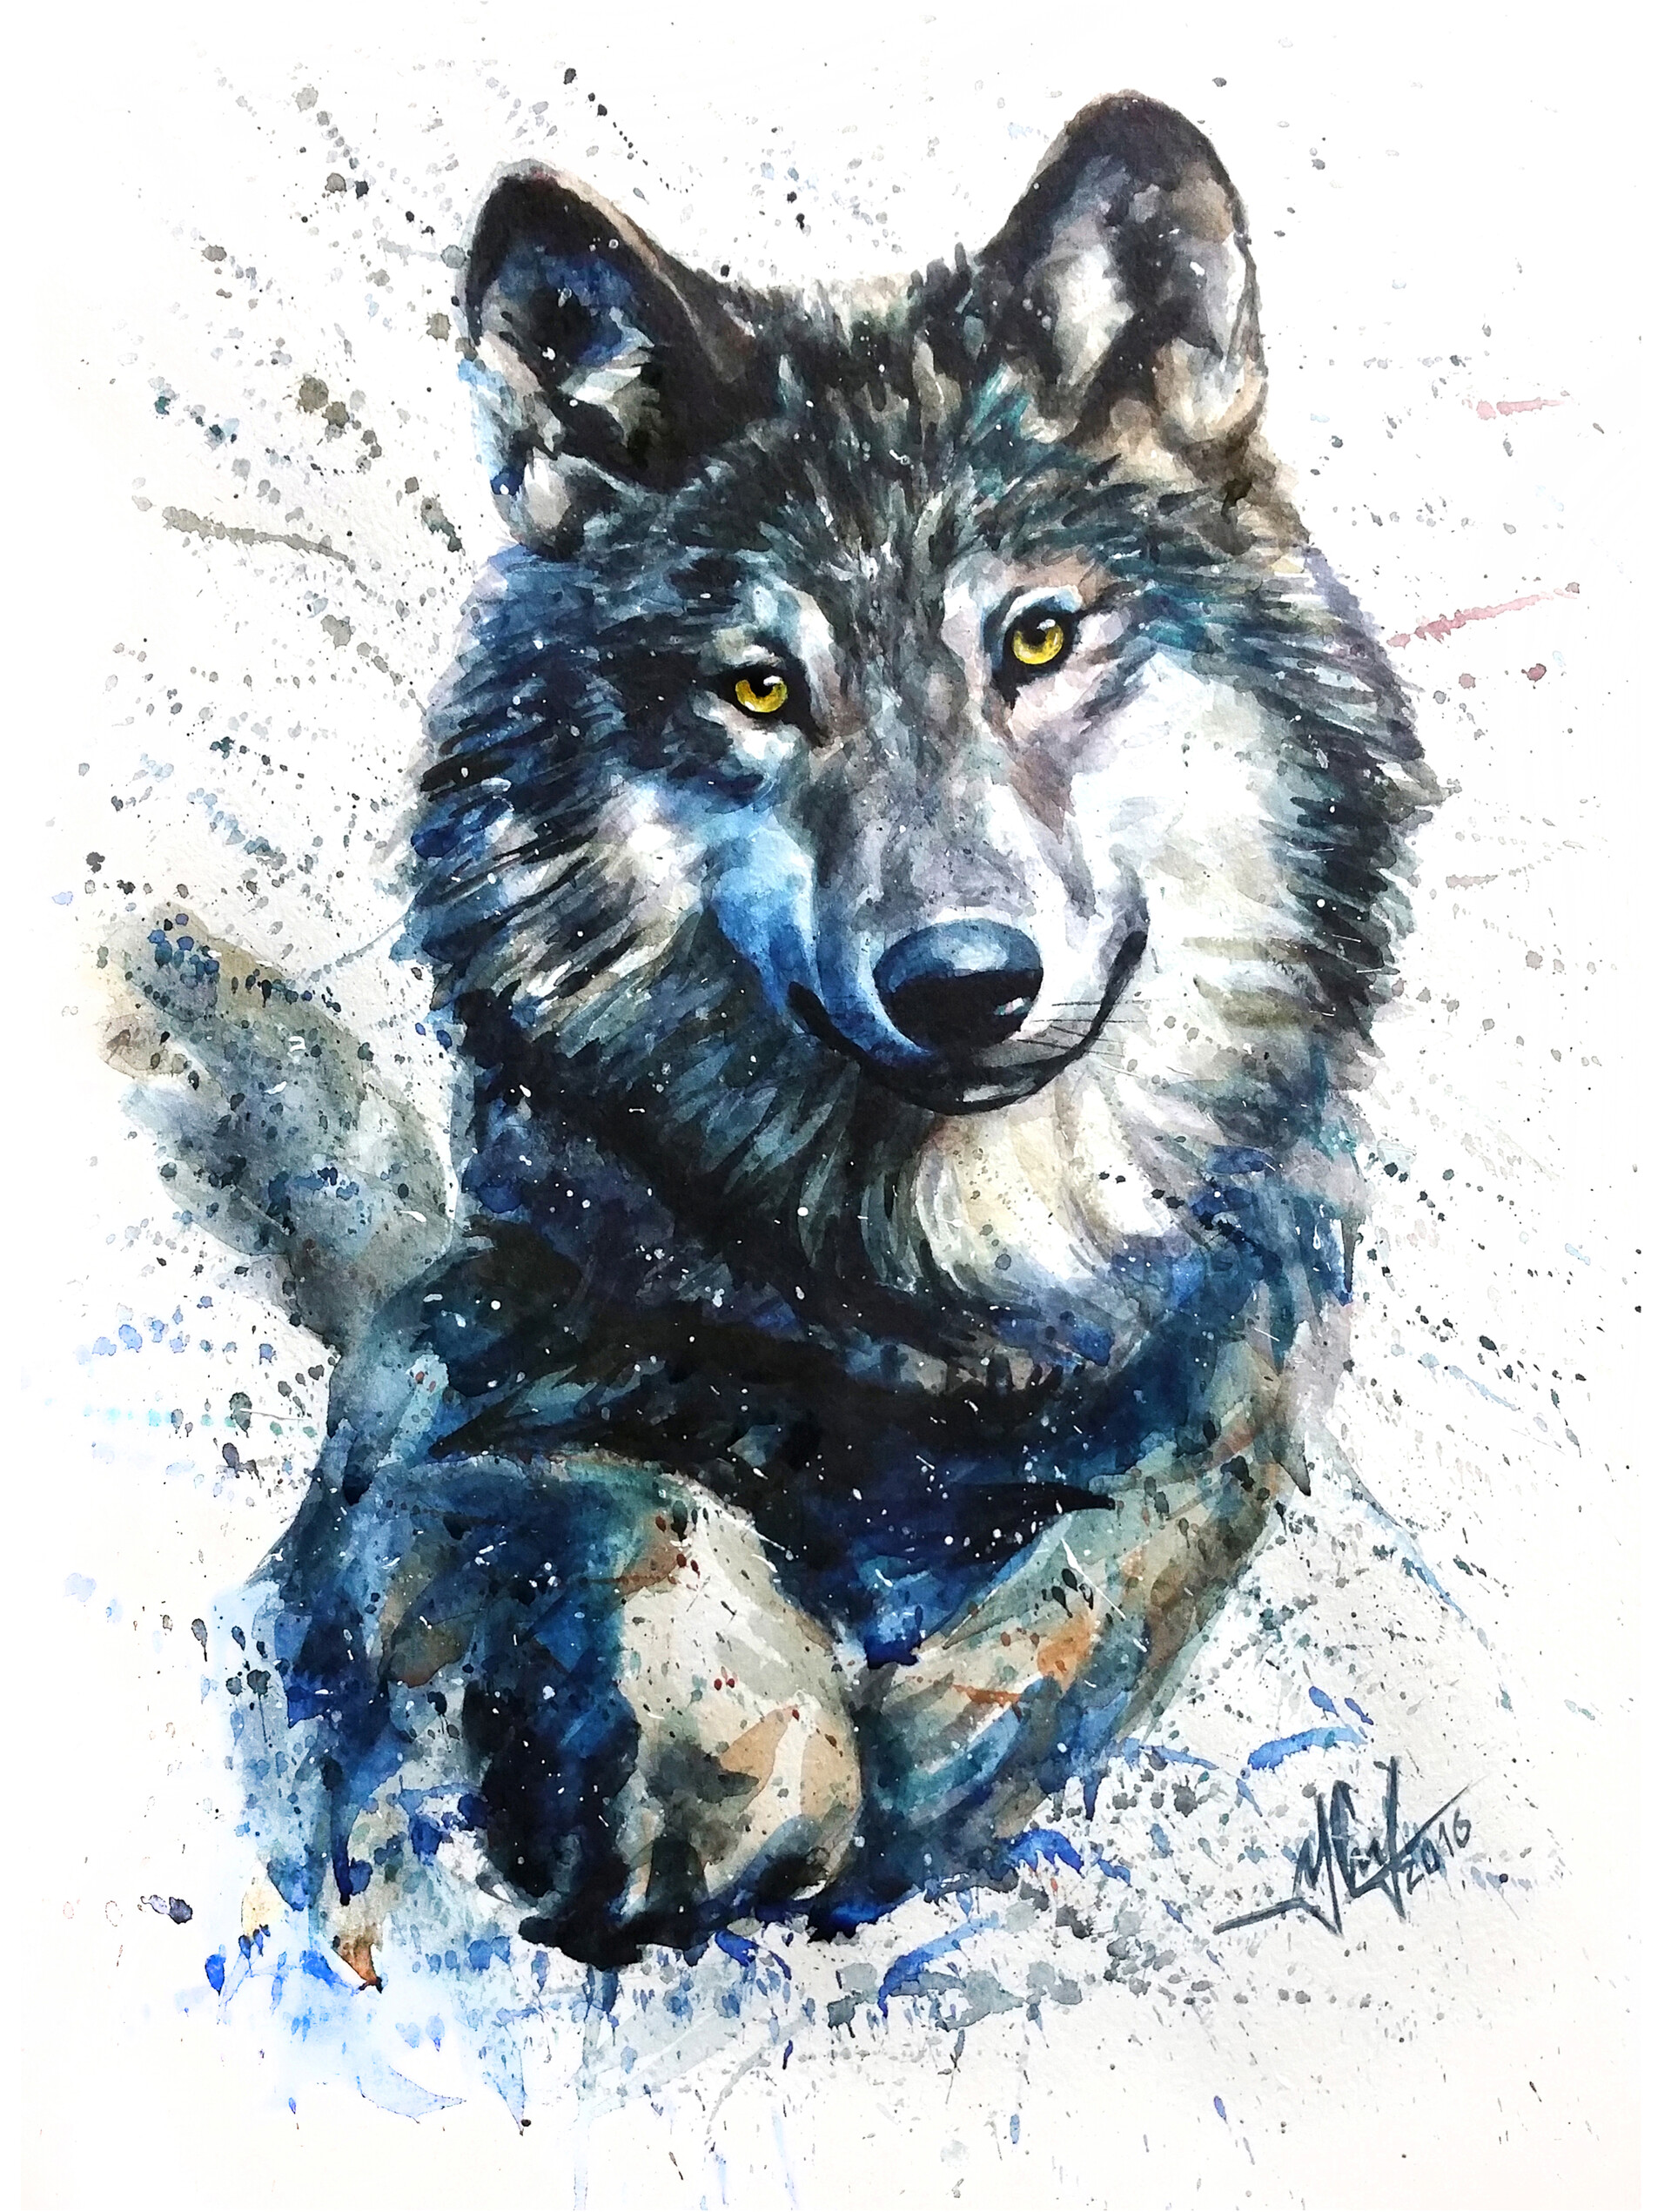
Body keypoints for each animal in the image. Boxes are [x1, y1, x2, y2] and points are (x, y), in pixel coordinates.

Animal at [163, 94, 1434, 1974]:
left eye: (1036, 638)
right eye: (762, 687)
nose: (963, 980)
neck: (941, 1308)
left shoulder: (1236, 1374)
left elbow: (1112, 1568)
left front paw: (929, 1760)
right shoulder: (422, 1402)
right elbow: (630, 1498)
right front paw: (753, 1775)